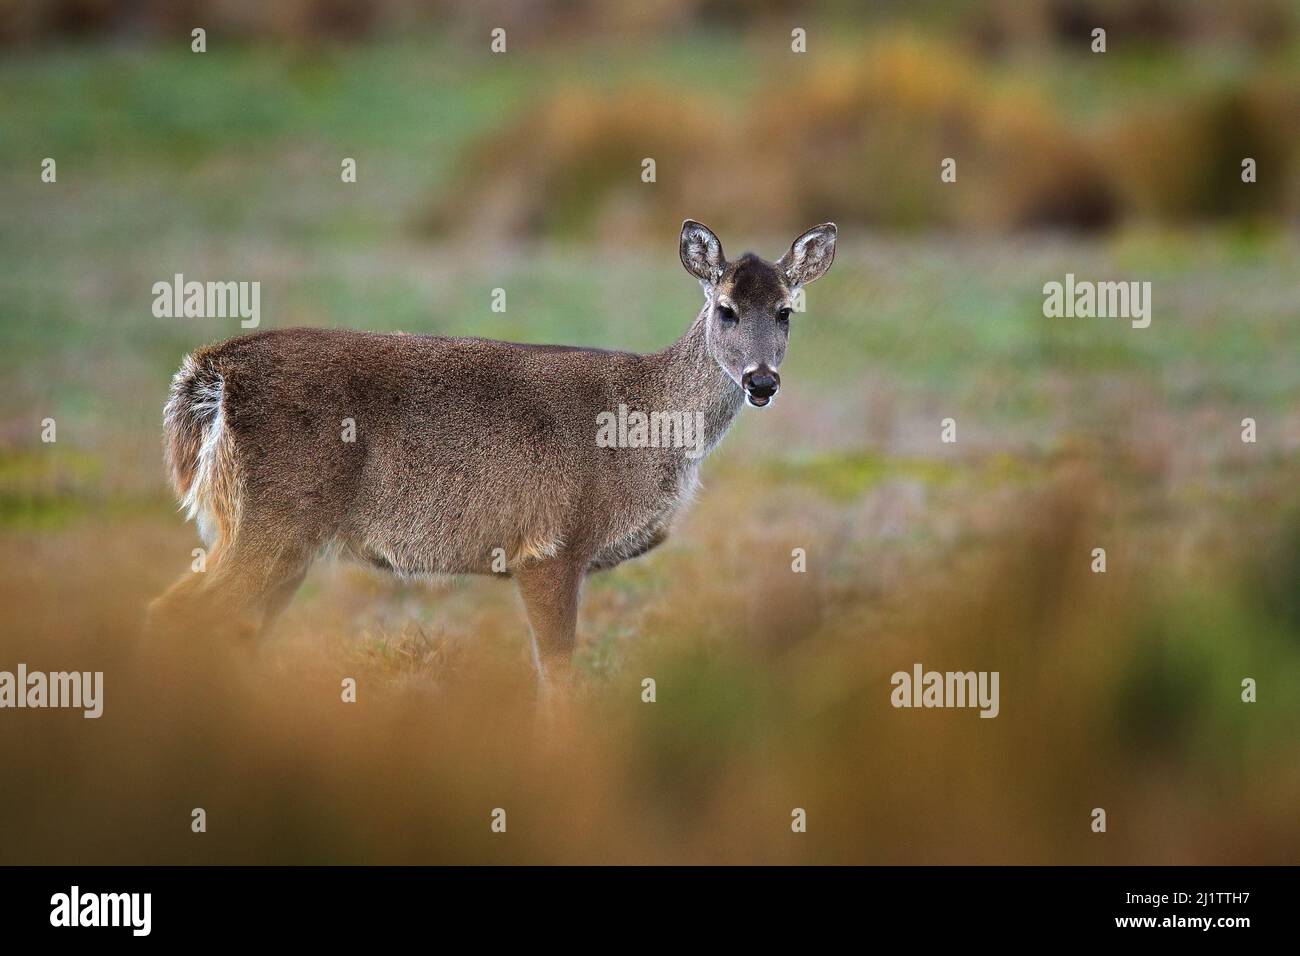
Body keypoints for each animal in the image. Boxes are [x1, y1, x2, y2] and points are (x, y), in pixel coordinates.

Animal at [147, 220, 837, 687]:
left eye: (785, 311)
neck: (645, 426)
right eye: (725, 309)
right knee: (173, 613)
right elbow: (558, 679)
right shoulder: (551, 545)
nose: (761, 381)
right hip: (275, 521)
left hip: (263, 533)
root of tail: (213, 377)